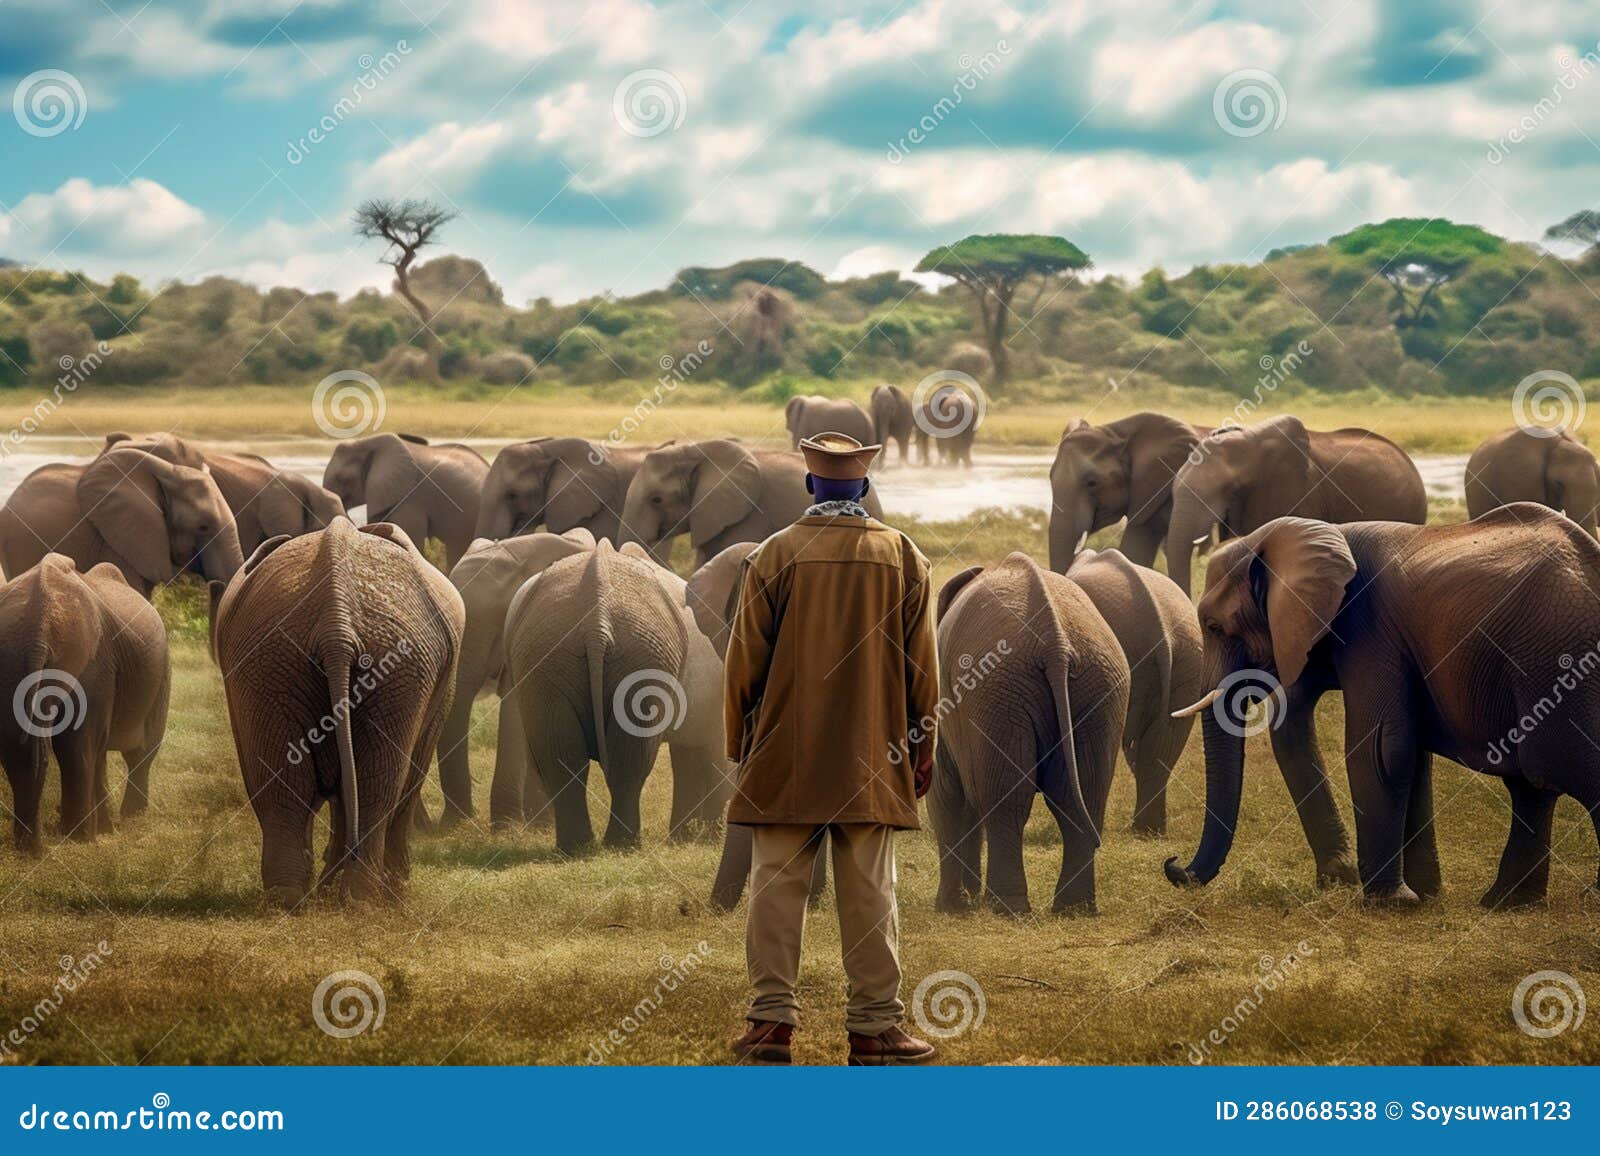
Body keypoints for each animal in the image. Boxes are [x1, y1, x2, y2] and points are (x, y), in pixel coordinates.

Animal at [209, 518, 464, 904]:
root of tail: (336, 624)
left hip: (277, 657)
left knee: (296, 783)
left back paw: (297, 899)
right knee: (375, 786)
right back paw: (358, 901)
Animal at [502, 540, 727, 854]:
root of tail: (596, 616)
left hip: (549, 654)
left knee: (564, 754)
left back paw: (580, 849)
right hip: (631, 652)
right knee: (627, 759)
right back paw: (620, 847)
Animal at [928, 552, 1130, 914]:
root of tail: (1056, 644)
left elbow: (946, 791)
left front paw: (950, 908)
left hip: (996, 693)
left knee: (1005, 799)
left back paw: (1007, 909)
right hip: (1099, 686)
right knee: (1085, 795)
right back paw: (1074, 909)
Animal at [1165, 506, 1600, 906]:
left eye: (1216, 627)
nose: (1173, 864)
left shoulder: (1369, 626)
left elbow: (1380, 749)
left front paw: (1391, 904)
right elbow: (1411, 756)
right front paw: (1424, 896)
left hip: (1557, 664)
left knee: (1566, 772)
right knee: (1531, 787)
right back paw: (1505, 904)